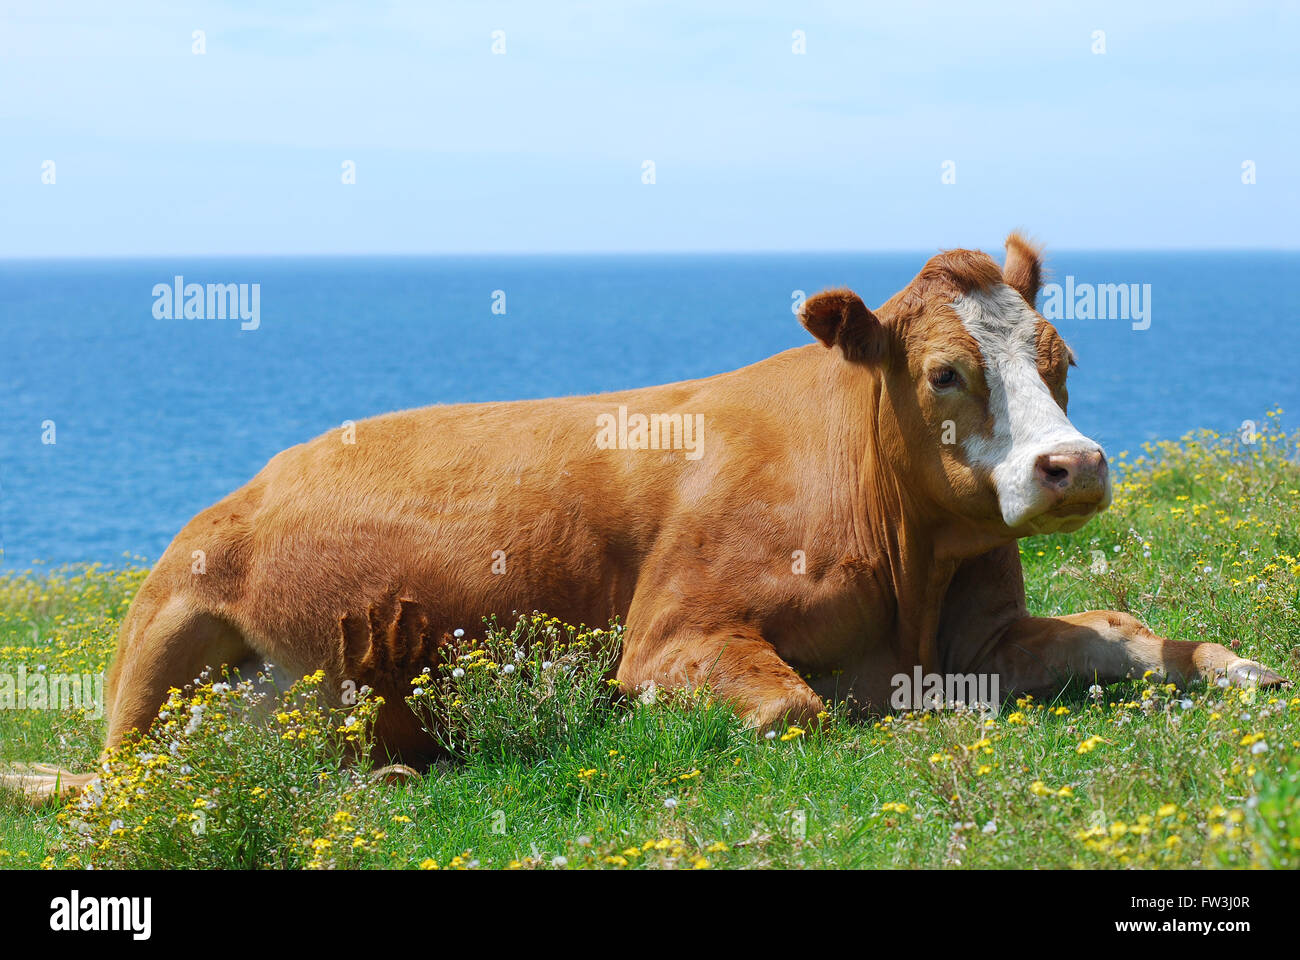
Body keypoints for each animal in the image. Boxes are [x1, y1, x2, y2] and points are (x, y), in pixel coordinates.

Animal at [6, 232, 1285, 801]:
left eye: (1062, 361)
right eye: (944, 375)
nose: (1071, 466)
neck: (908, 584)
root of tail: (248, 486)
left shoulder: (978, 632)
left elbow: (1122, 632)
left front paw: (1239, 666)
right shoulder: (670, 637)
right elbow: (797, 711)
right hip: (167, 632)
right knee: (126, 786)